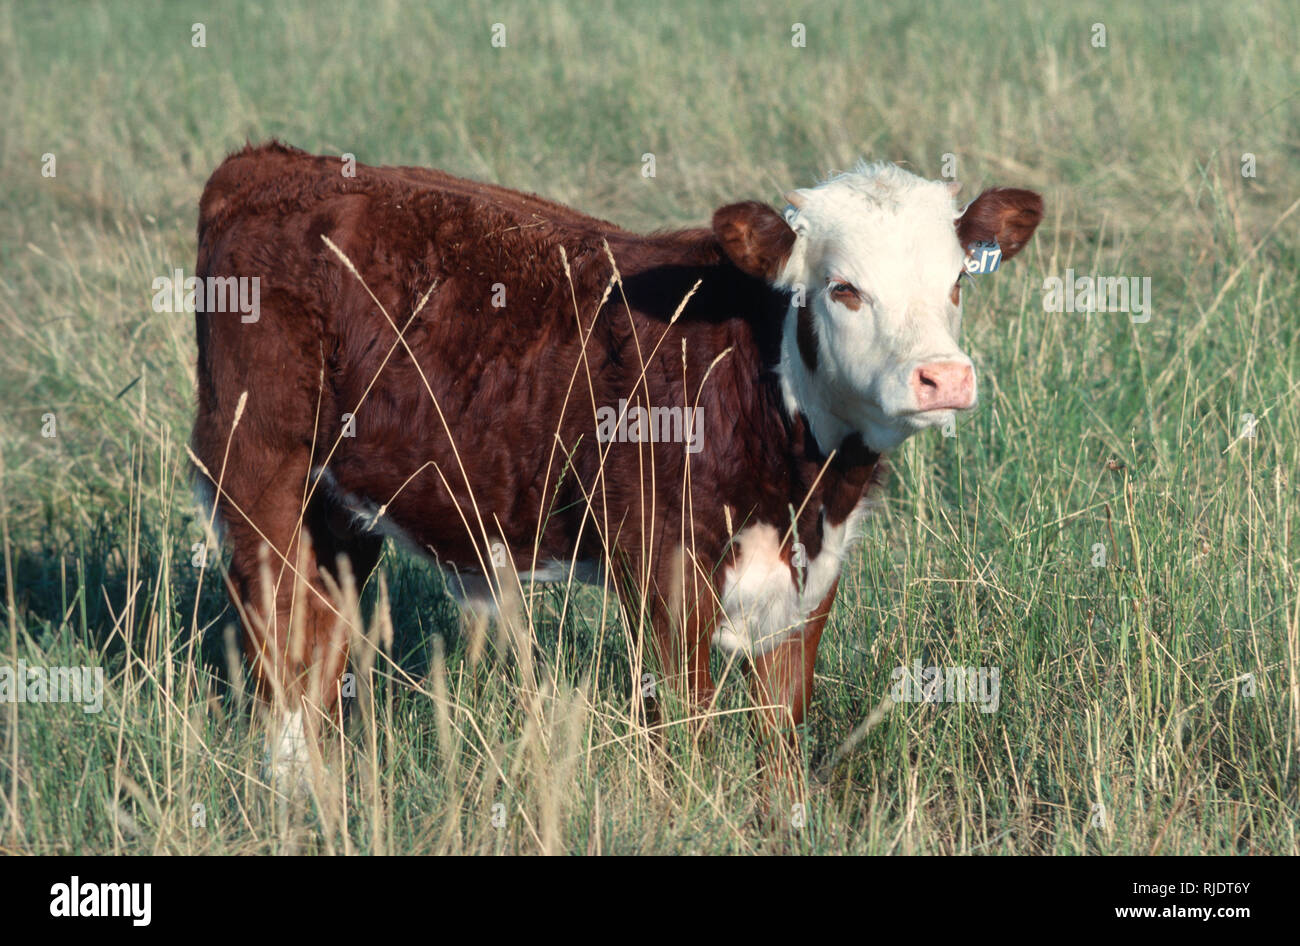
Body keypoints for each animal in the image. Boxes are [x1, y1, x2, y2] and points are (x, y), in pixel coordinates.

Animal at [190, 142, 1042, 785]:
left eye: (957, 283)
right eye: (844, 289)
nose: (943, 377)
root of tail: (272, 164)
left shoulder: (811, 580)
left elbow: (782, 733)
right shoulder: (664, 570)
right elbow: (686, 731)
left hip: (338, 507)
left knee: (318, 640)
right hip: (258, 468)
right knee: (277, 634)